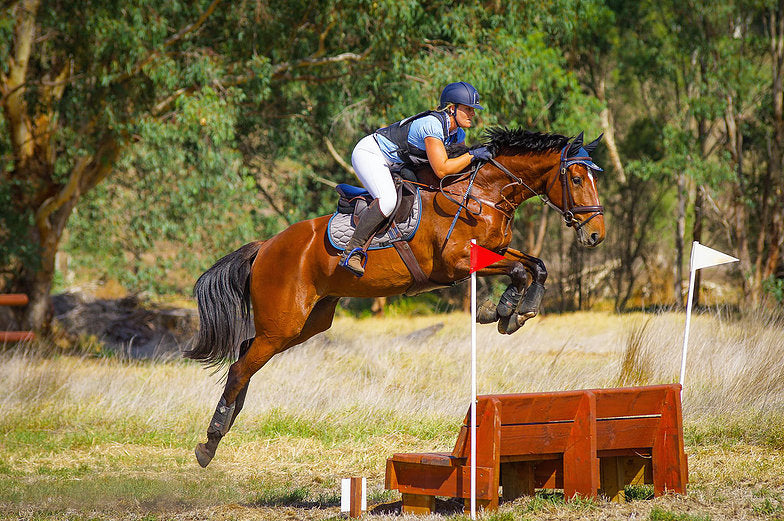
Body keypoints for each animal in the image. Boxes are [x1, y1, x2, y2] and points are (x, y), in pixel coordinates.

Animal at [185, 128, 606, 467]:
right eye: (575, 177)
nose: (596, 235)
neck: (483, 193)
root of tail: (265, 246)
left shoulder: (495, 252)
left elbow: (537, 265)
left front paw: (519, 311)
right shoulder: (456, 264)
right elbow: (520, 270)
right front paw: (500, 310)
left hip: (308, 322)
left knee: (245, 358)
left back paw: (227, 420)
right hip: (283, 324)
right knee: (240, 367)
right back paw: (210, 442)